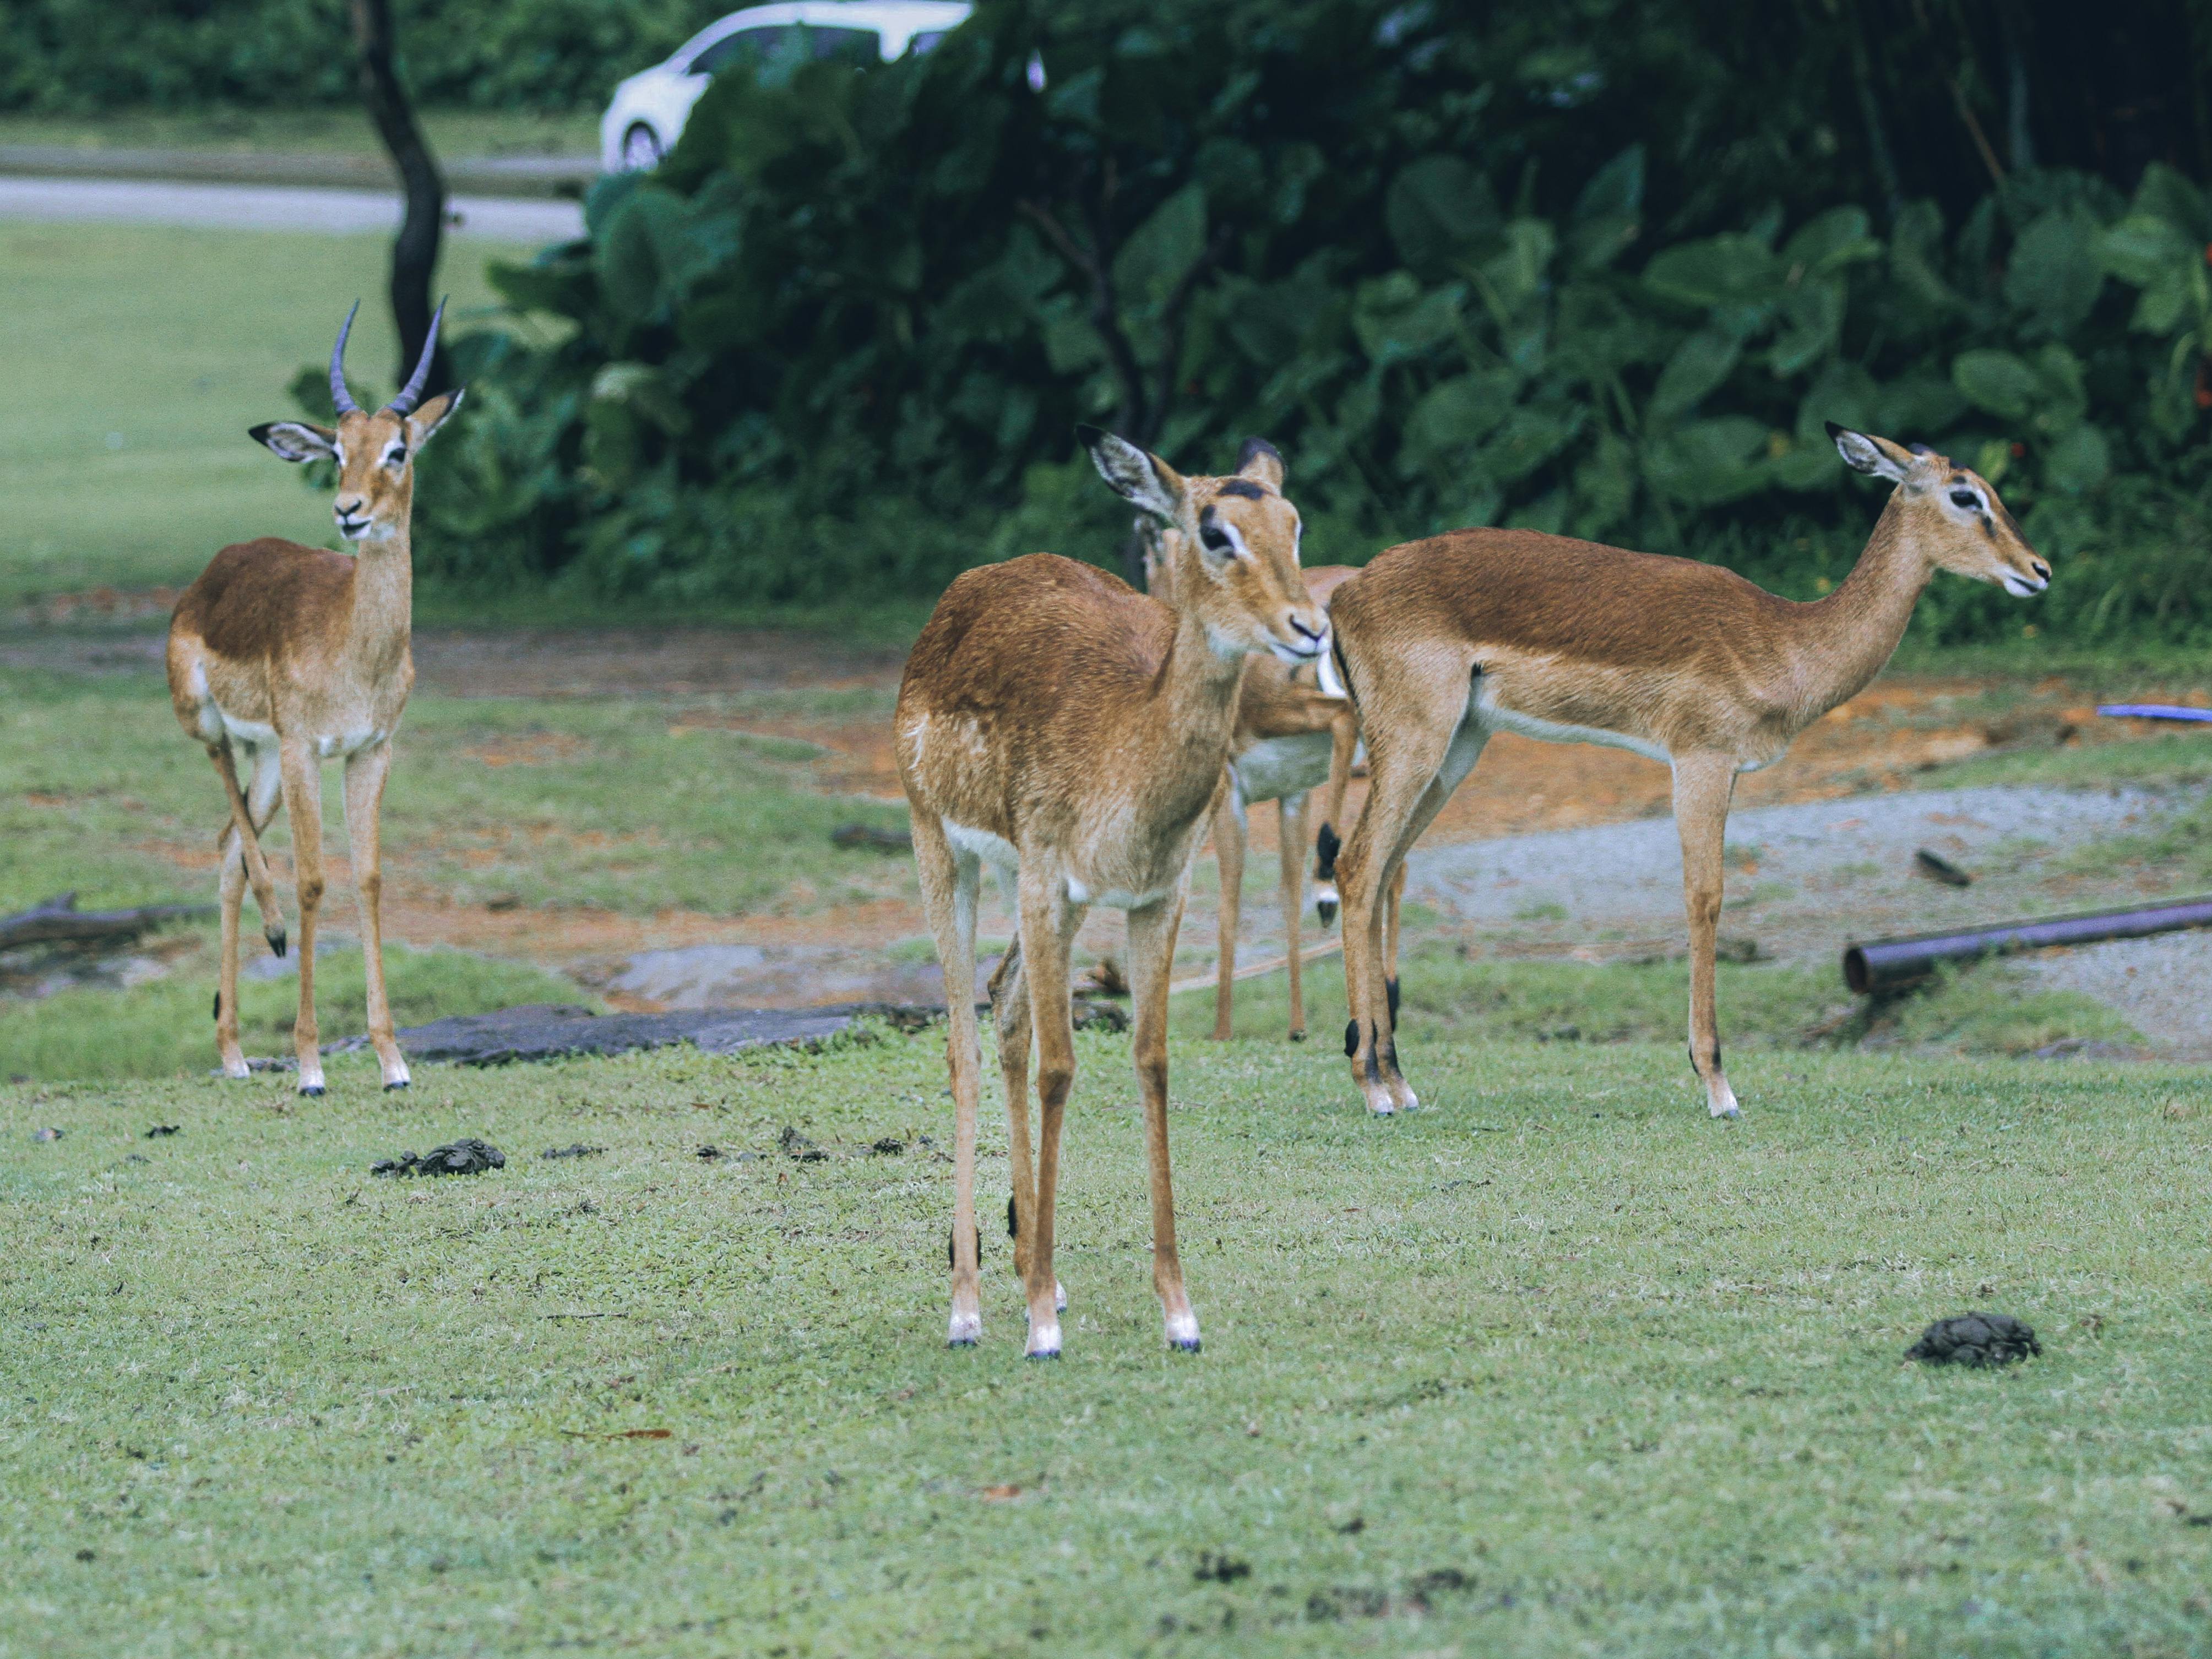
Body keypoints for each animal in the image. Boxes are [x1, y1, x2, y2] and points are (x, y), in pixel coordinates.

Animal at [165, 302, 462, 1096]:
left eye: (397, 448)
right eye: (337, 448)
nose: (348, 511)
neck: (354, 645)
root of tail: (213, 572)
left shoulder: (371, 752)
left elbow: (369, 880)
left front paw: (393, 1061)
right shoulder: (306, 750)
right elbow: (313, 882)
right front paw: (309, 1065)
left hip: (267, 760)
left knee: (227, 850)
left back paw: (234, 1053)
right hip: (215, 726)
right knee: (239, 825)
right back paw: (270, 941)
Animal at [895, 429, 1327, 1358]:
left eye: (1293, 521)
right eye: (1213, 531)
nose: (1310, 628)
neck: (1123, 750)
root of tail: (958, 596)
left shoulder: (1153, 896)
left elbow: (1152, 1059)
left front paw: (1178, 1313)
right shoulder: (1050, 878)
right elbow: (1061, 1067)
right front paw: (1041, 1328)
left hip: (1029, 887)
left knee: (1004, 1001)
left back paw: (1034, 1267)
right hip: (942, 846)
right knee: (965, 1040)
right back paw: (969, 1306)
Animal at [1137, 520, 1362, 1042]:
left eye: (1146, 560)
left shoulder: (1231, 795)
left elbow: (1229, 900)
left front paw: (1222, 1030)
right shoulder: (1292, 794)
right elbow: (1284, 895)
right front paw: (1297, 1027)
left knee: (1344, 717)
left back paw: (1327, 884)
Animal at [1327, 425, 2049, 1117]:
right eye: (1965, 495)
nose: (2039, 570)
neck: (1785, 642)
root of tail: (1345, 595)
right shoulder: (1700, 760)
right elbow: (1705, 898)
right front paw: (1719, 1087)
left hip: (1456, 749)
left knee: (1385, 872)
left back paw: (1400, 1082)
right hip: (1415, 741)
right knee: (1357, 866)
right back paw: (1372, 1088)